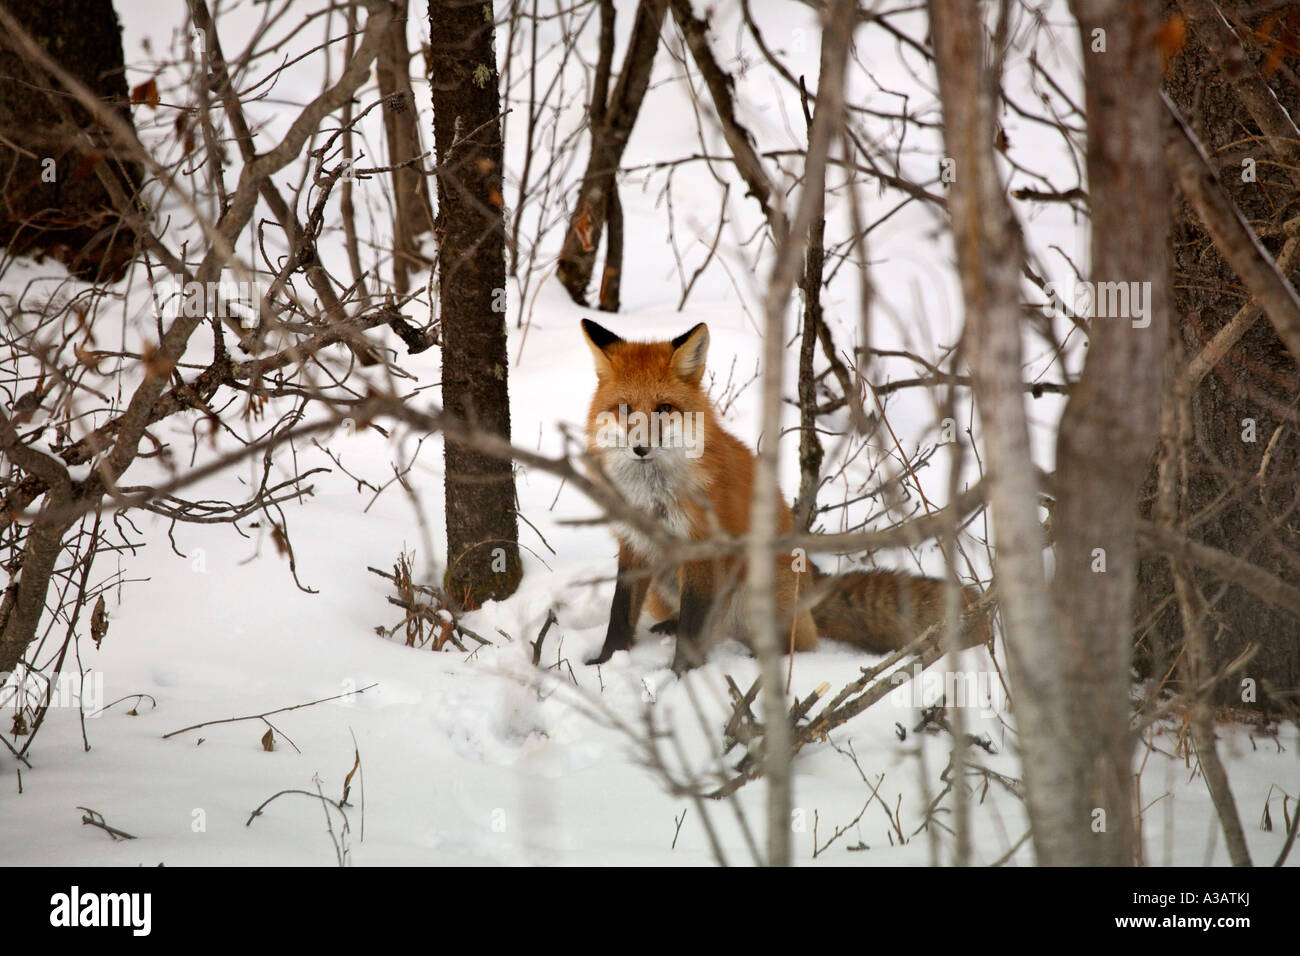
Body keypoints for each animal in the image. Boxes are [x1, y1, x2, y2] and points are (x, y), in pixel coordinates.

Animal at [580, 318, 991, 673]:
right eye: (624, 409)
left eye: (664, 408)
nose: (640, 448)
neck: (652, 494)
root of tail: (811, 579)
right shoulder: (633, 544)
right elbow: (620, 612)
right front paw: (605, 662)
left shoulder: (702, 548)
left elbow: (693, 627)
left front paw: (682, 675)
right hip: (661, 591)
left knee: (798, 644)